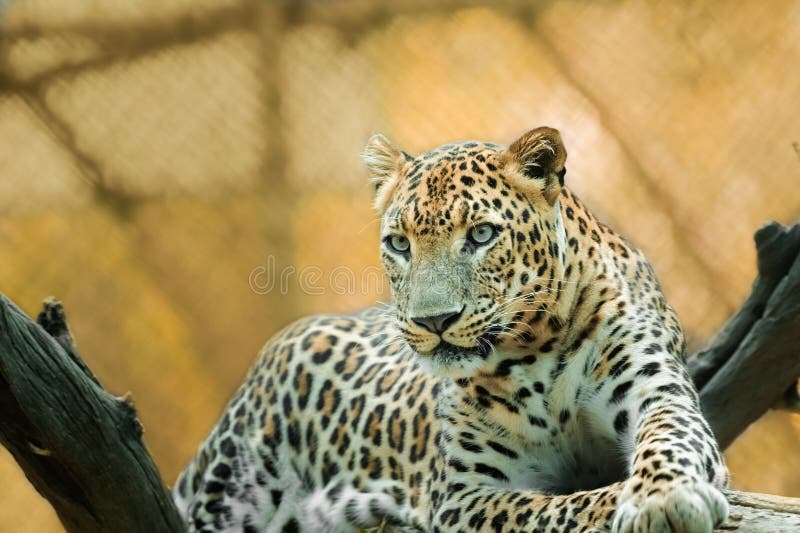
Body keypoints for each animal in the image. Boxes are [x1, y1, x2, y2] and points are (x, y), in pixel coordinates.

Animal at [173, 126, 730, 532]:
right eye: (399, 244)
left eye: (481, 234)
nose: (433, 321)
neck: (536, 351)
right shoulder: (465, 496)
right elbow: (551, 508)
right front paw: (619, 500)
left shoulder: (657, 391)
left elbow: (669, 438)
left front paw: (663, 498)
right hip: (235, 483)